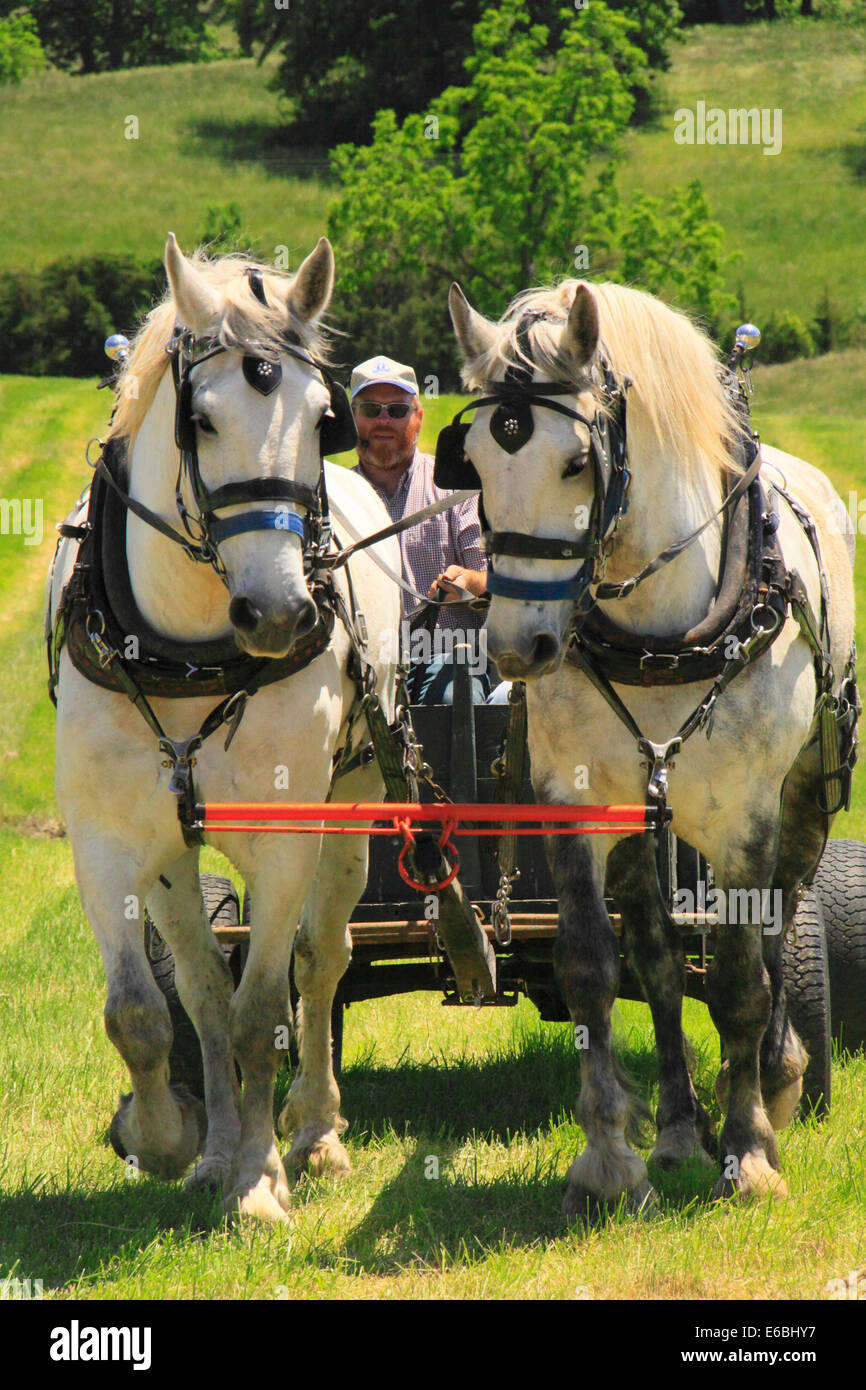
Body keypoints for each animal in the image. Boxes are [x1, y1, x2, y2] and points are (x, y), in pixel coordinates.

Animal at [47, 235, 401, 1221]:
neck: (188, 650)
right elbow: (148, 1010)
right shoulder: (108, 839)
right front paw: (172, 1140)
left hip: (353, 803)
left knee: (321, 963)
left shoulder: (286, 837)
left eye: (322, 418)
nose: (277, 612)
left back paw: (311, 1134)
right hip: (174, 853)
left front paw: (257, 1180)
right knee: (203, 982)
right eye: (199, 420)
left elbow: (261, 1014)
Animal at [441, 277, 856, 1223]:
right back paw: (674, 1130)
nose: (516, 648)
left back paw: (775, 1077)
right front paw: (609, 1161)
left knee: (778, 928)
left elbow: (740, 979)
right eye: (473, 460)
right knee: (661, 958)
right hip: (643, 819)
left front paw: (749, 1152)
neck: (661, 632)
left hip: (803, 803)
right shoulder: (572, 801)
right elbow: (594, 967)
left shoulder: (745, 817)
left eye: (576, 463)